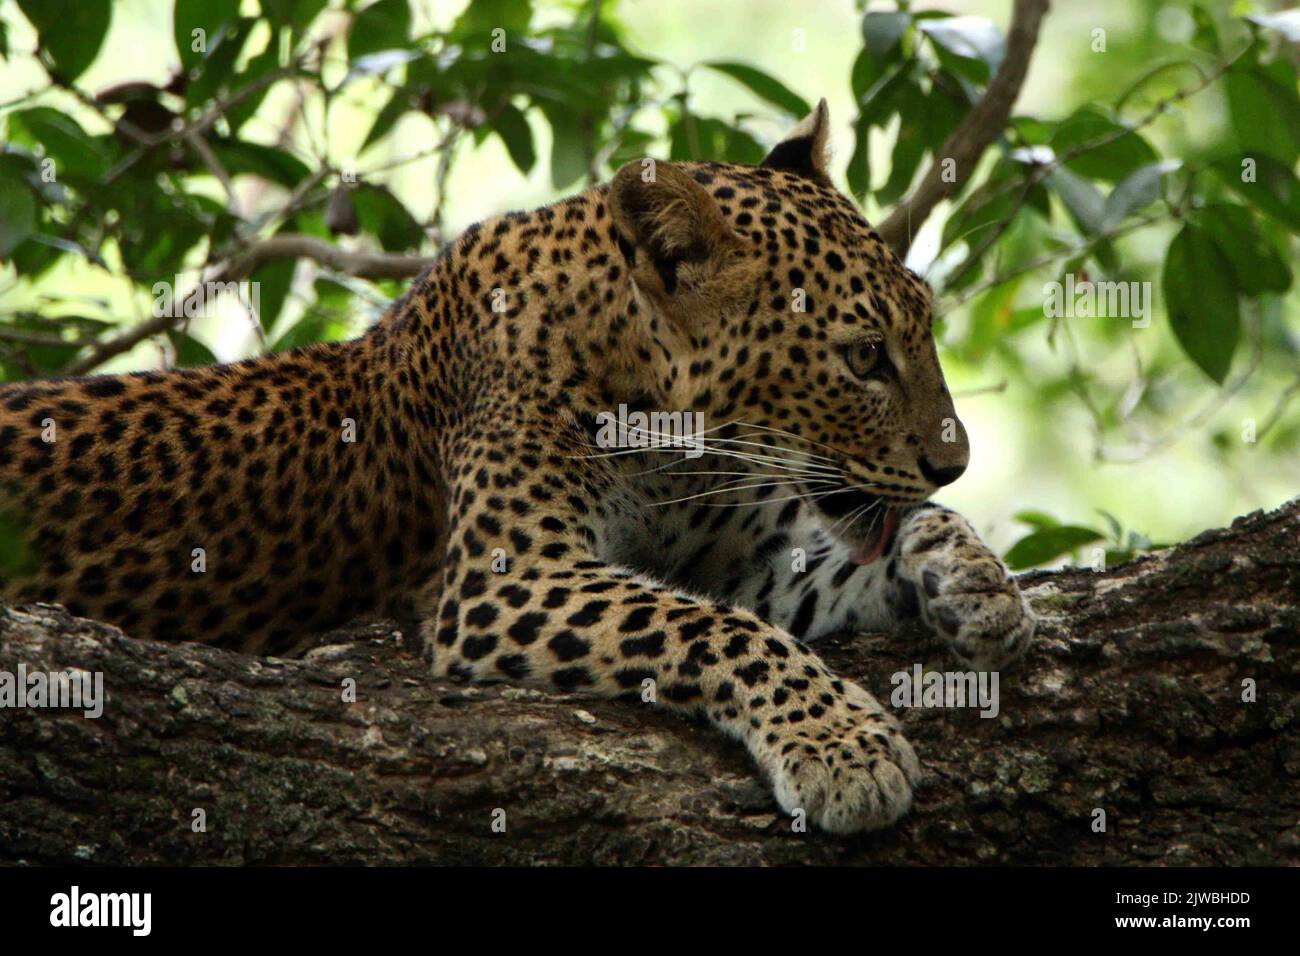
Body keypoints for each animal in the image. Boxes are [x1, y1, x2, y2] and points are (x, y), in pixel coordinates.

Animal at [0, 100, 1034, 834]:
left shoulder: (728, 554)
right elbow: (718, 630)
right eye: (864, 357)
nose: (954, 463)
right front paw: (844, 746)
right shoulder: (504, 583)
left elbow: (806, 586)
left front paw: (976, 583)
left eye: (923, 326)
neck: (676, 441)